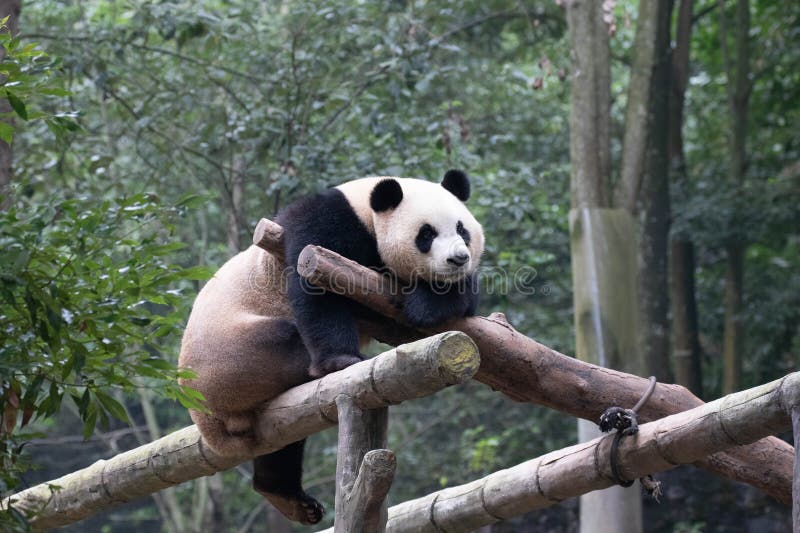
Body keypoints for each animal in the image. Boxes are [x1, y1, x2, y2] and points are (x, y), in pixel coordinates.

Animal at [178, 169, 484, 525]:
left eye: (462, 229)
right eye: (426, 234)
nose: (458, 258)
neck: (366, 213)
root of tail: (208, 418)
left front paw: (429, 301)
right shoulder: (326, 224)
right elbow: (322, 286)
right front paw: (342, 357)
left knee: (283, 437)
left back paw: (285, 495)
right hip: (234, 357)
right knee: (286, 341)